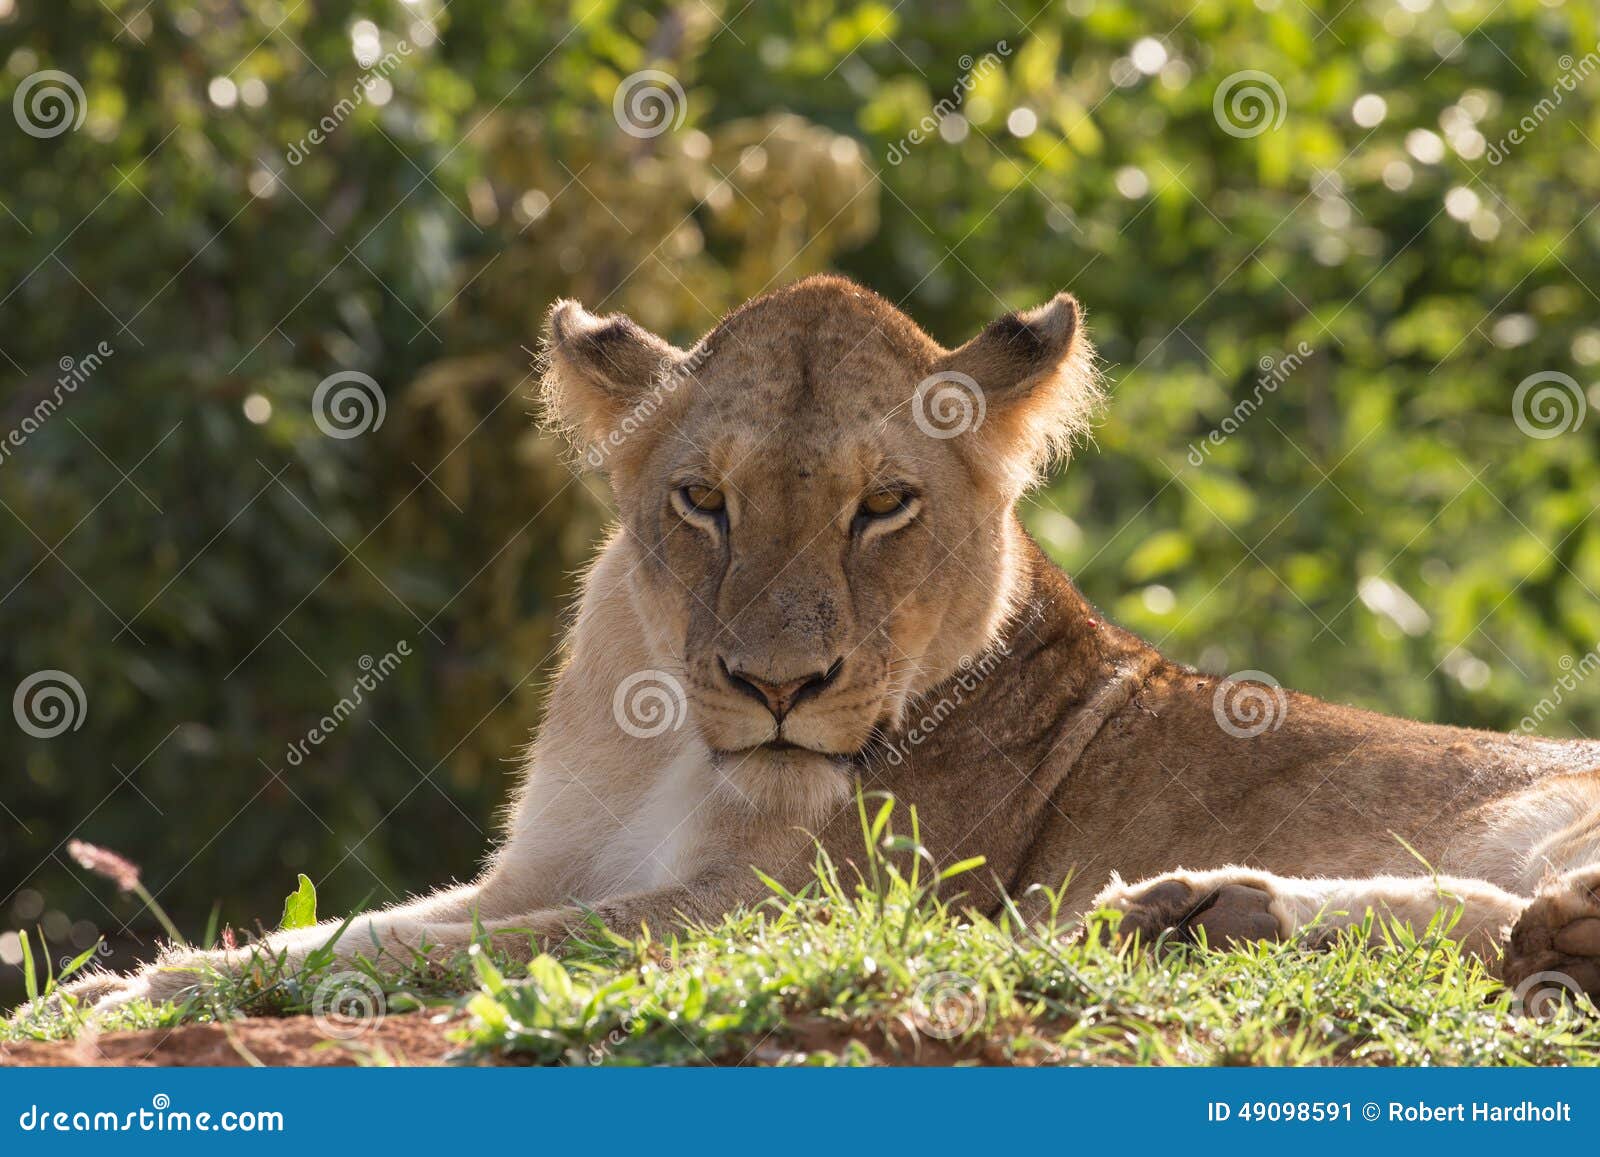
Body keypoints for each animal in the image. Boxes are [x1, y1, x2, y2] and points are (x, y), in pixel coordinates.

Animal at [43, 274, 1600, 1016]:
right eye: (703, 501)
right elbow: (357, 930)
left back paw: (1191, 908)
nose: (778, 687)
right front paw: (116, 982)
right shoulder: (540, 865)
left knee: (1529, 926)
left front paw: (153, 989)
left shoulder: (780, 910)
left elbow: (454, 958)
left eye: (884, 506)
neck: (669, 748)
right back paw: (1197, 915)